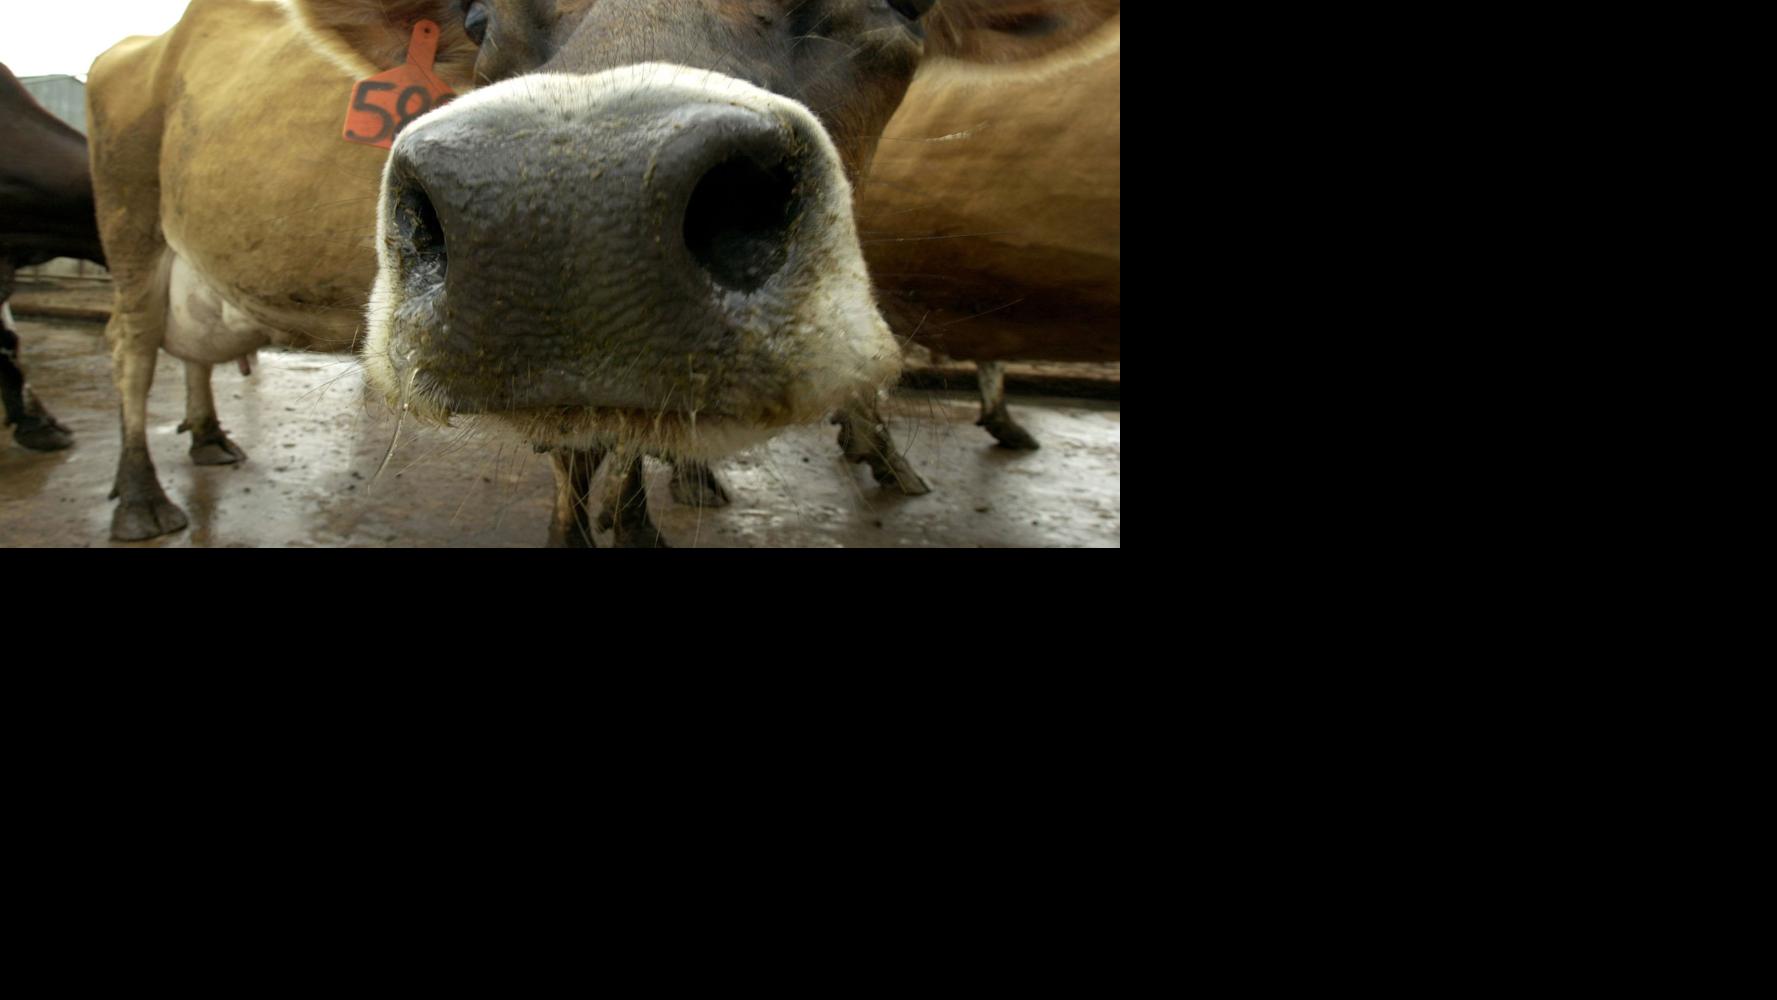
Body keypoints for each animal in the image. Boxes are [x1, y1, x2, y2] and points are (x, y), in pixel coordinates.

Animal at [86, 0, 1119, 545]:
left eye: (894, 10)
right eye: (476, 15)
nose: (565, 218)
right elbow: (579, 456)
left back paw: (209, 438)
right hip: (130, 223)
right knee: (130, 352)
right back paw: (140, 496)